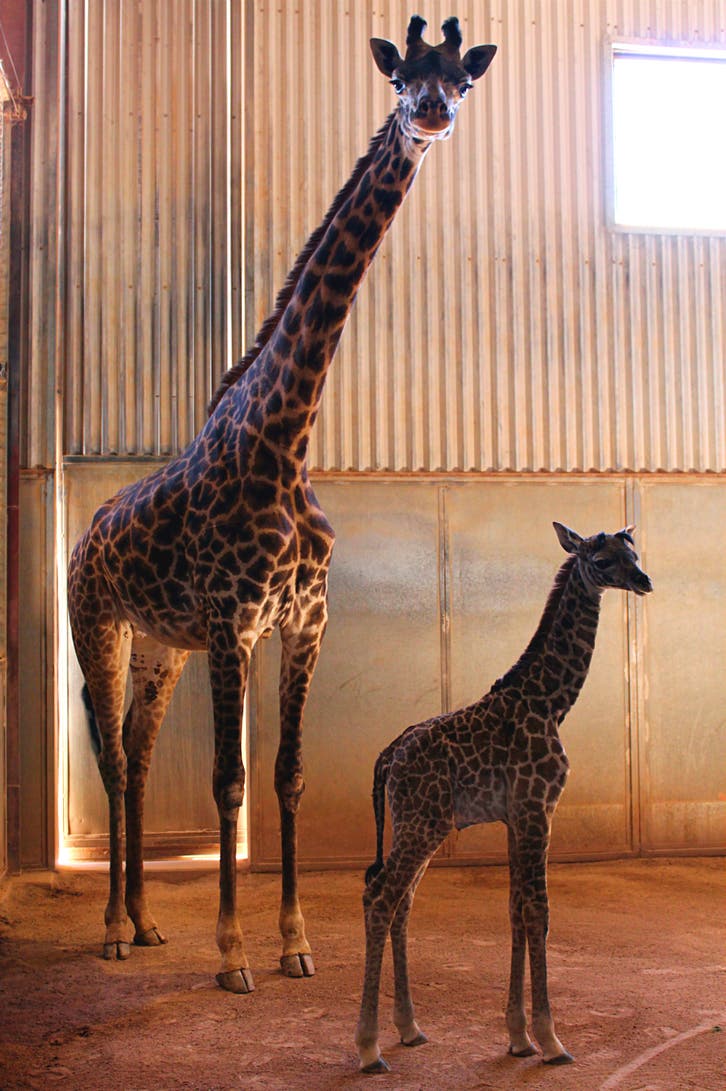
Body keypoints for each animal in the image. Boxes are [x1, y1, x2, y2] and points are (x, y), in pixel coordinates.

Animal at [67, 16, 497, 995]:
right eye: (402, 78)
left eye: (461, 78)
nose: (432, 115)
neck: (285, 435)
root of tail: (82, 537)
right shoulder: (234, 623)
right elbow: (228, 778)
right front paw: (232, 952)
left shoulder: (303, 621)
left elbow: (288, 775)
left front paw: (295, 940)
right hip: (99, 626)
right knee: (111, 757)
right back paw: (110, 928)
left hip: (160, 647)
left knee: (138, 760)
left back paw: (146, 919)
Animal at [355, 522, 652, 1072]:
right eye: (601, 560)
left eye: (634, 553)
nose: (644, 581)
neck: (552, 702)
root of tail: (387, 757)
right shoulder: (539, 808)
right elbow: (539, 911)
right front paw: (551, 1041)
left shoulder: (516, 816)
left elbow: (515, 908)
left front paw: (518, 1037)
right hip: (422, 824)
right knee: (381, 895)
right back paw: (368, 1048)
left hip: (418, 825)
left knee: (401, 900)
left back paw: (409, 1029)